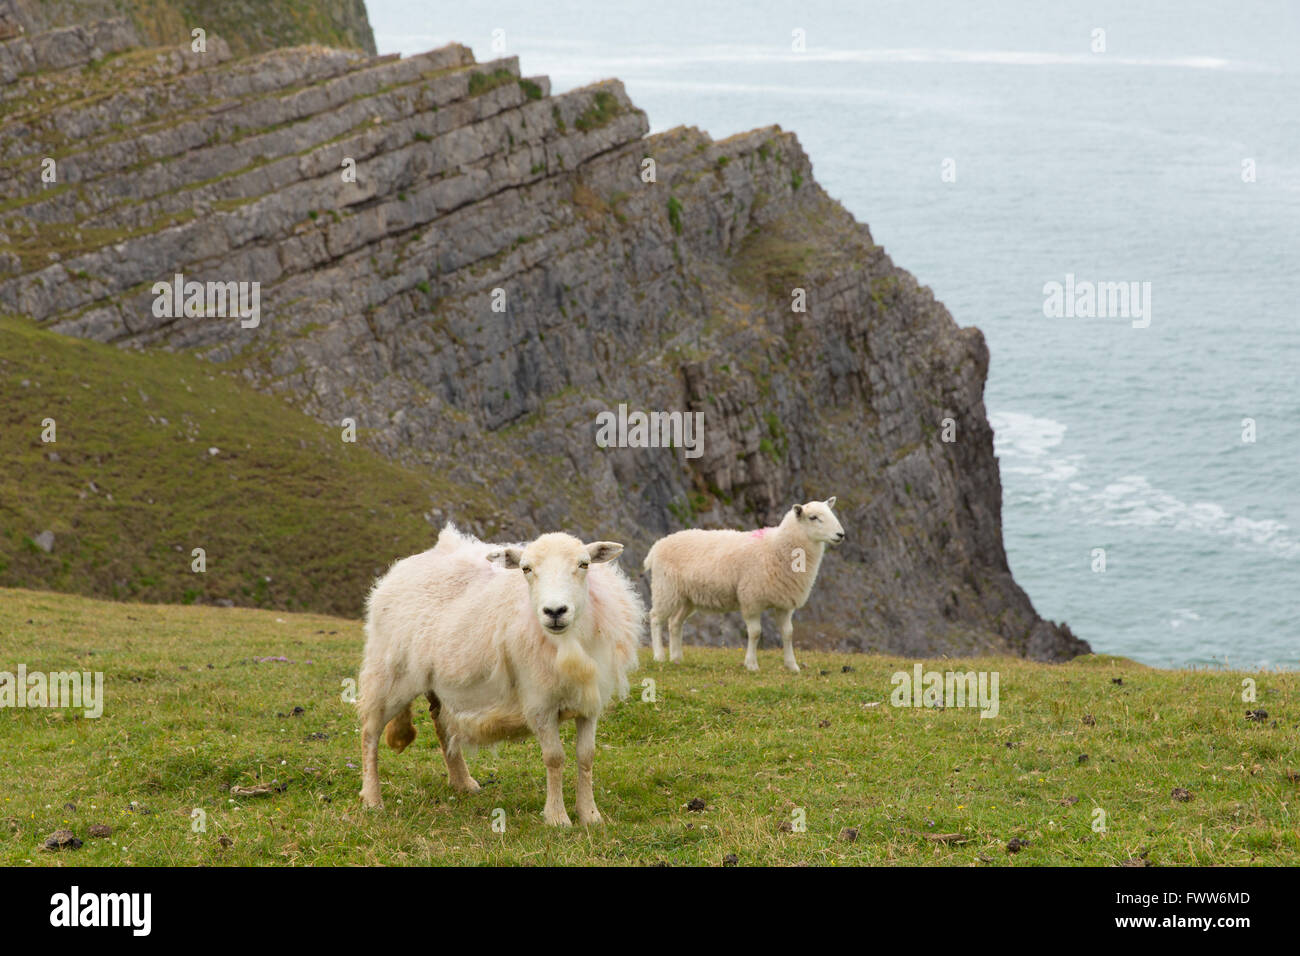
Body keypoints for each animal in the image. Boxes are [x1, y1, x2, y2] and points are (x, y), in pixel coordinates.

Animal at [357, 523, 642, 826]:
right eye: (526, 568)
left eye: (584, 564)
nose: (555, 611)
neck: (567, 643)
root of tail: (400, 568)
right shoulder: (539, 702)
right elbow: (554, 758)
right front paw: (557, 817)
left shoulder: (589, 702)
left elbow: (586, 756)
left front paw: (590, 815)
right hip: (389, 675)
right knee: (370, 732)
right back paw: (372, 798)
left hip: (435, 681)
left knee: (441, 724)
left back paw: (462, 782)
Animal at [644, 497, 845, 673]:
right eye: (813, 517)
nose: (841, 534)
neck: (777, 548)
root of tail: (658, 544)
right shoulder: (751, 599)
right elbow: (755, 632)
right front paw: (752, 665)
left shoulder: (785, 602)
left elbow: (788, 633)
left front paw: (792, 666)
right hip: (665, 589)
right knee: (655, 618)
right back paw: (659, 656)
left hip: (687, 598)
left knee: (675, 623)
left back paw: (676, 657)